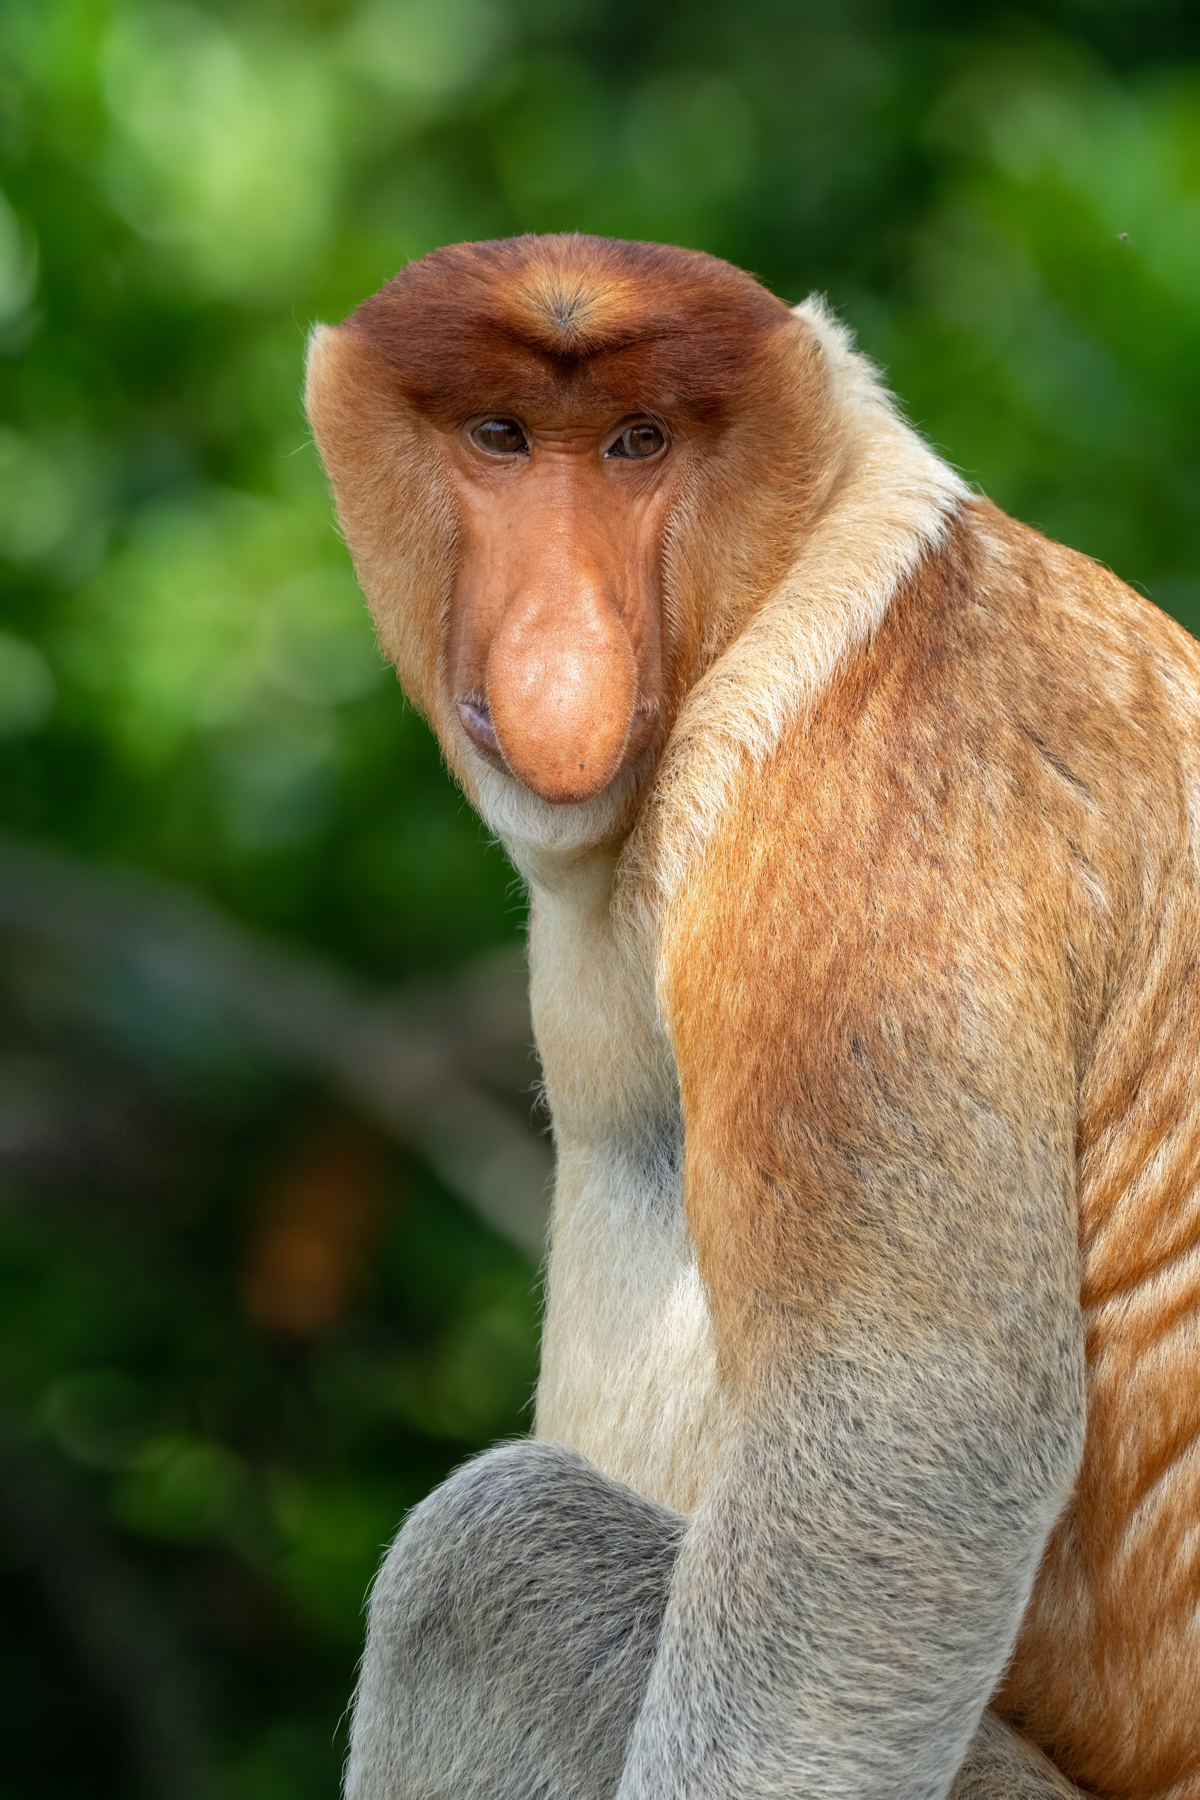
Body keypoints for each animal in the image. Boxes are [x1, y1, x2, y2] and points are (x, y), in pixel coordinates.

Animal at [304, 234, 1200, 1800]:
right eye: (499, 436)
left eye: (637, 444)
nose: (564, 655)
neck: (792, 579)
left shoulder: (864, 836)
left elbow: (912, 1429)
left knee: (490, 1563)